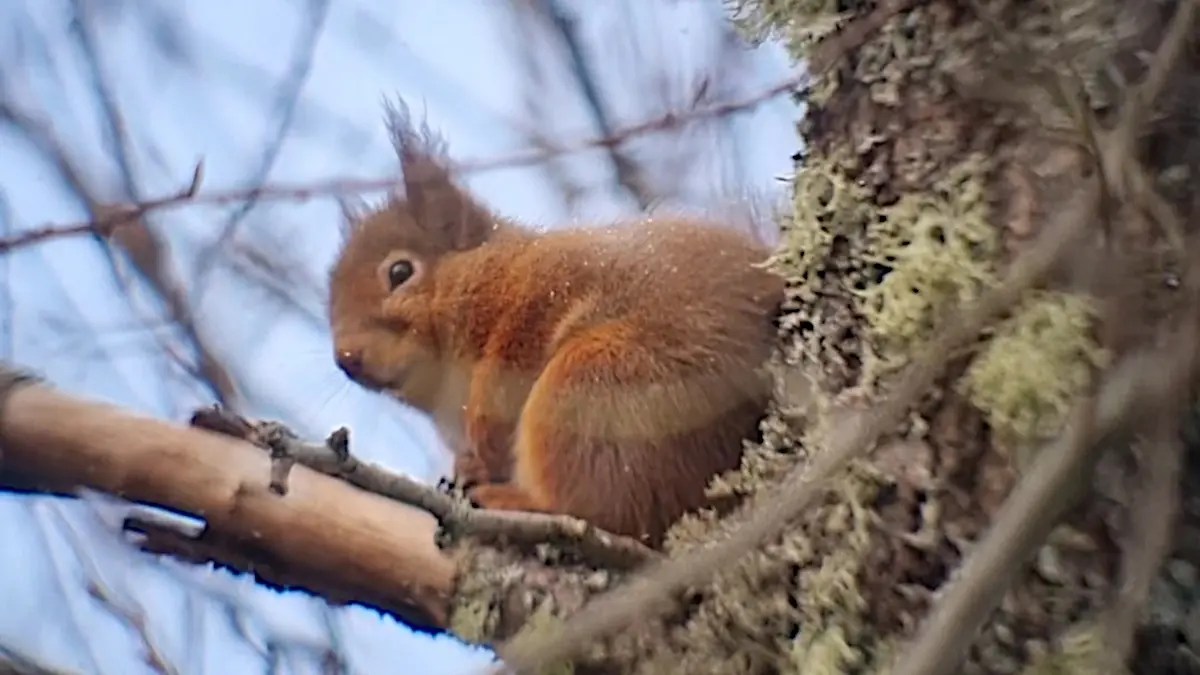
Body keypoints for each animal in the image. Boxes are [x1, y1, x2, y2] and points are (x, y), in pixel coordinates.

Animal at [328, 104, 785, 547]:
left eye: (400, 271)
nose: (346, 358)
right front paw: (467, 465)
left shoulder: (539, 293)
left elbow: (510, 367)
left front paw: (485, 447)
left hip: (602, 390)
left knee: (608, 512)